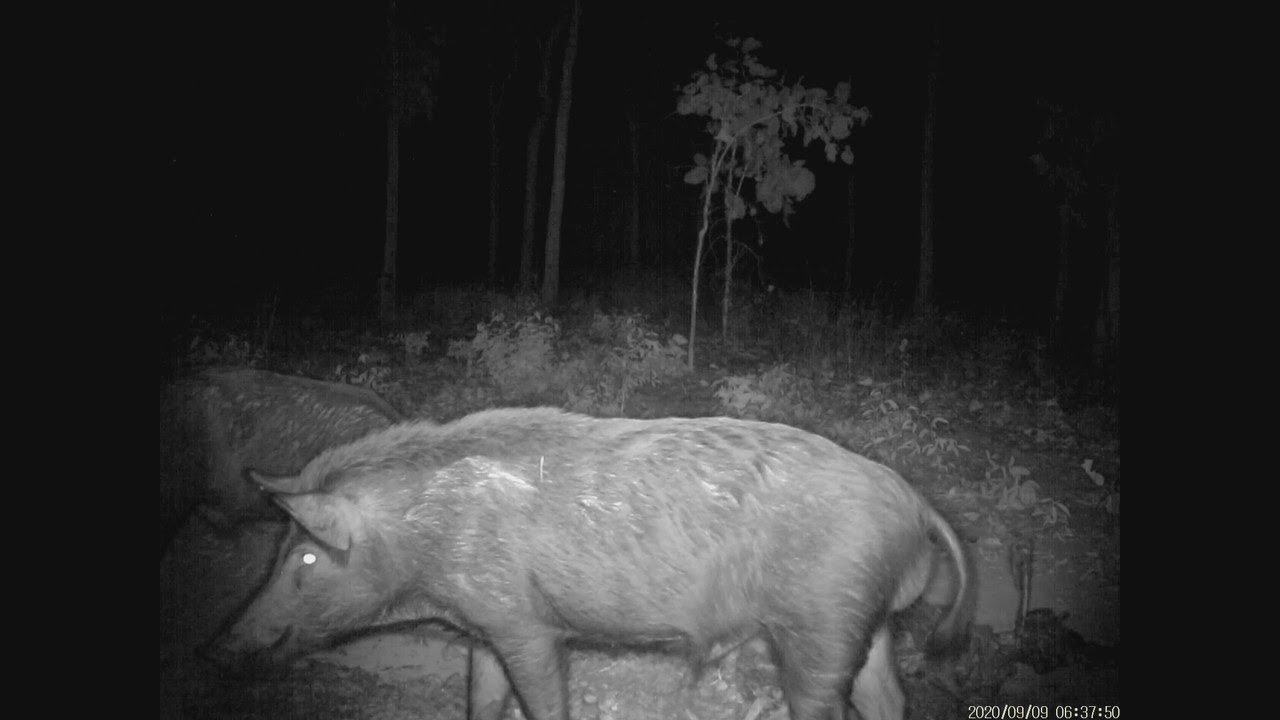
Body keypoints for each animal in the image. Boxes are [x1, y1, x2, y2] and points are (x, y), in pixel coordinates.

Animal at [206, 407, 970, 720]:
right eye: (278, 548)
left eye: (306, 552)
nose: (217, 642)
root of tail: (915, 502)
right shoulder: (485, 626)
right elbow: (482, 699)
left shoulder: (527, 624)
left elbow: (543, 701)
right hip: (862, 622)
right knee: (888, 698)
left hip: (819, 624)